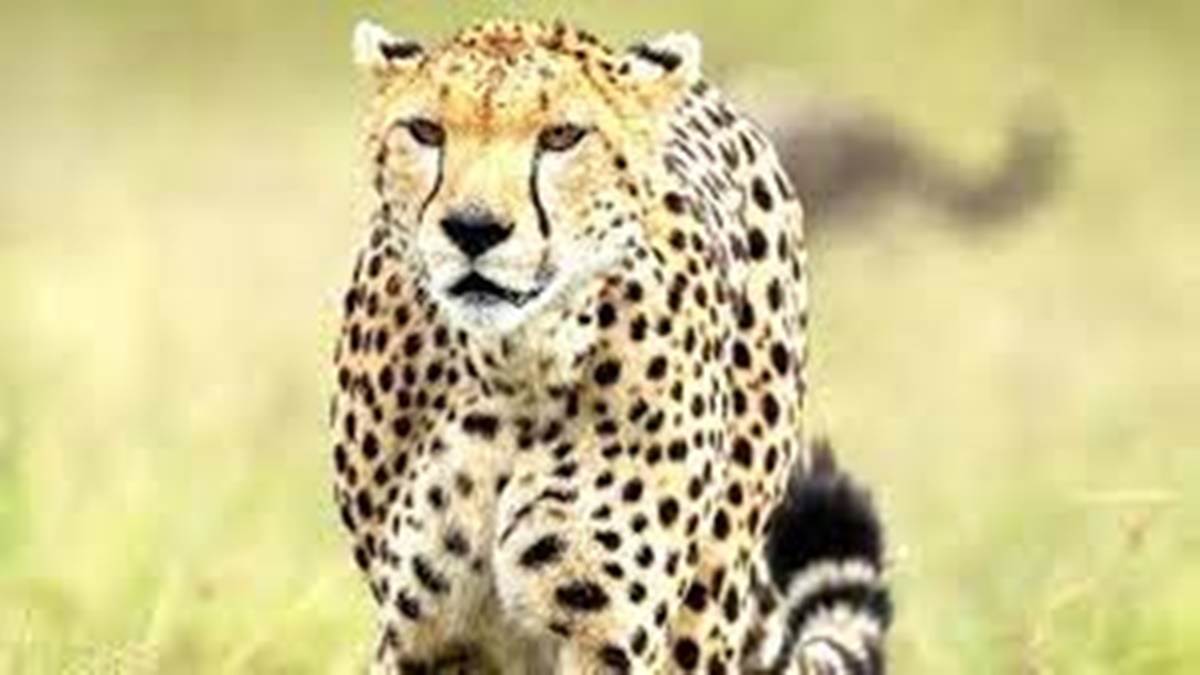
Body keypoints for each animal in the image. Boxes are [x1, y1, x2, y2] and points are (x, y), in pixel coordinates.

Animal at [330, 18, 890, 674]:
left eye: (562, 136)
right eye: (425, 131)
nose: (474, 229)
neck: (509, 369)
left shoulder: (606, 633)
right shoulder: (426, 633)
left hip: (707, 606)